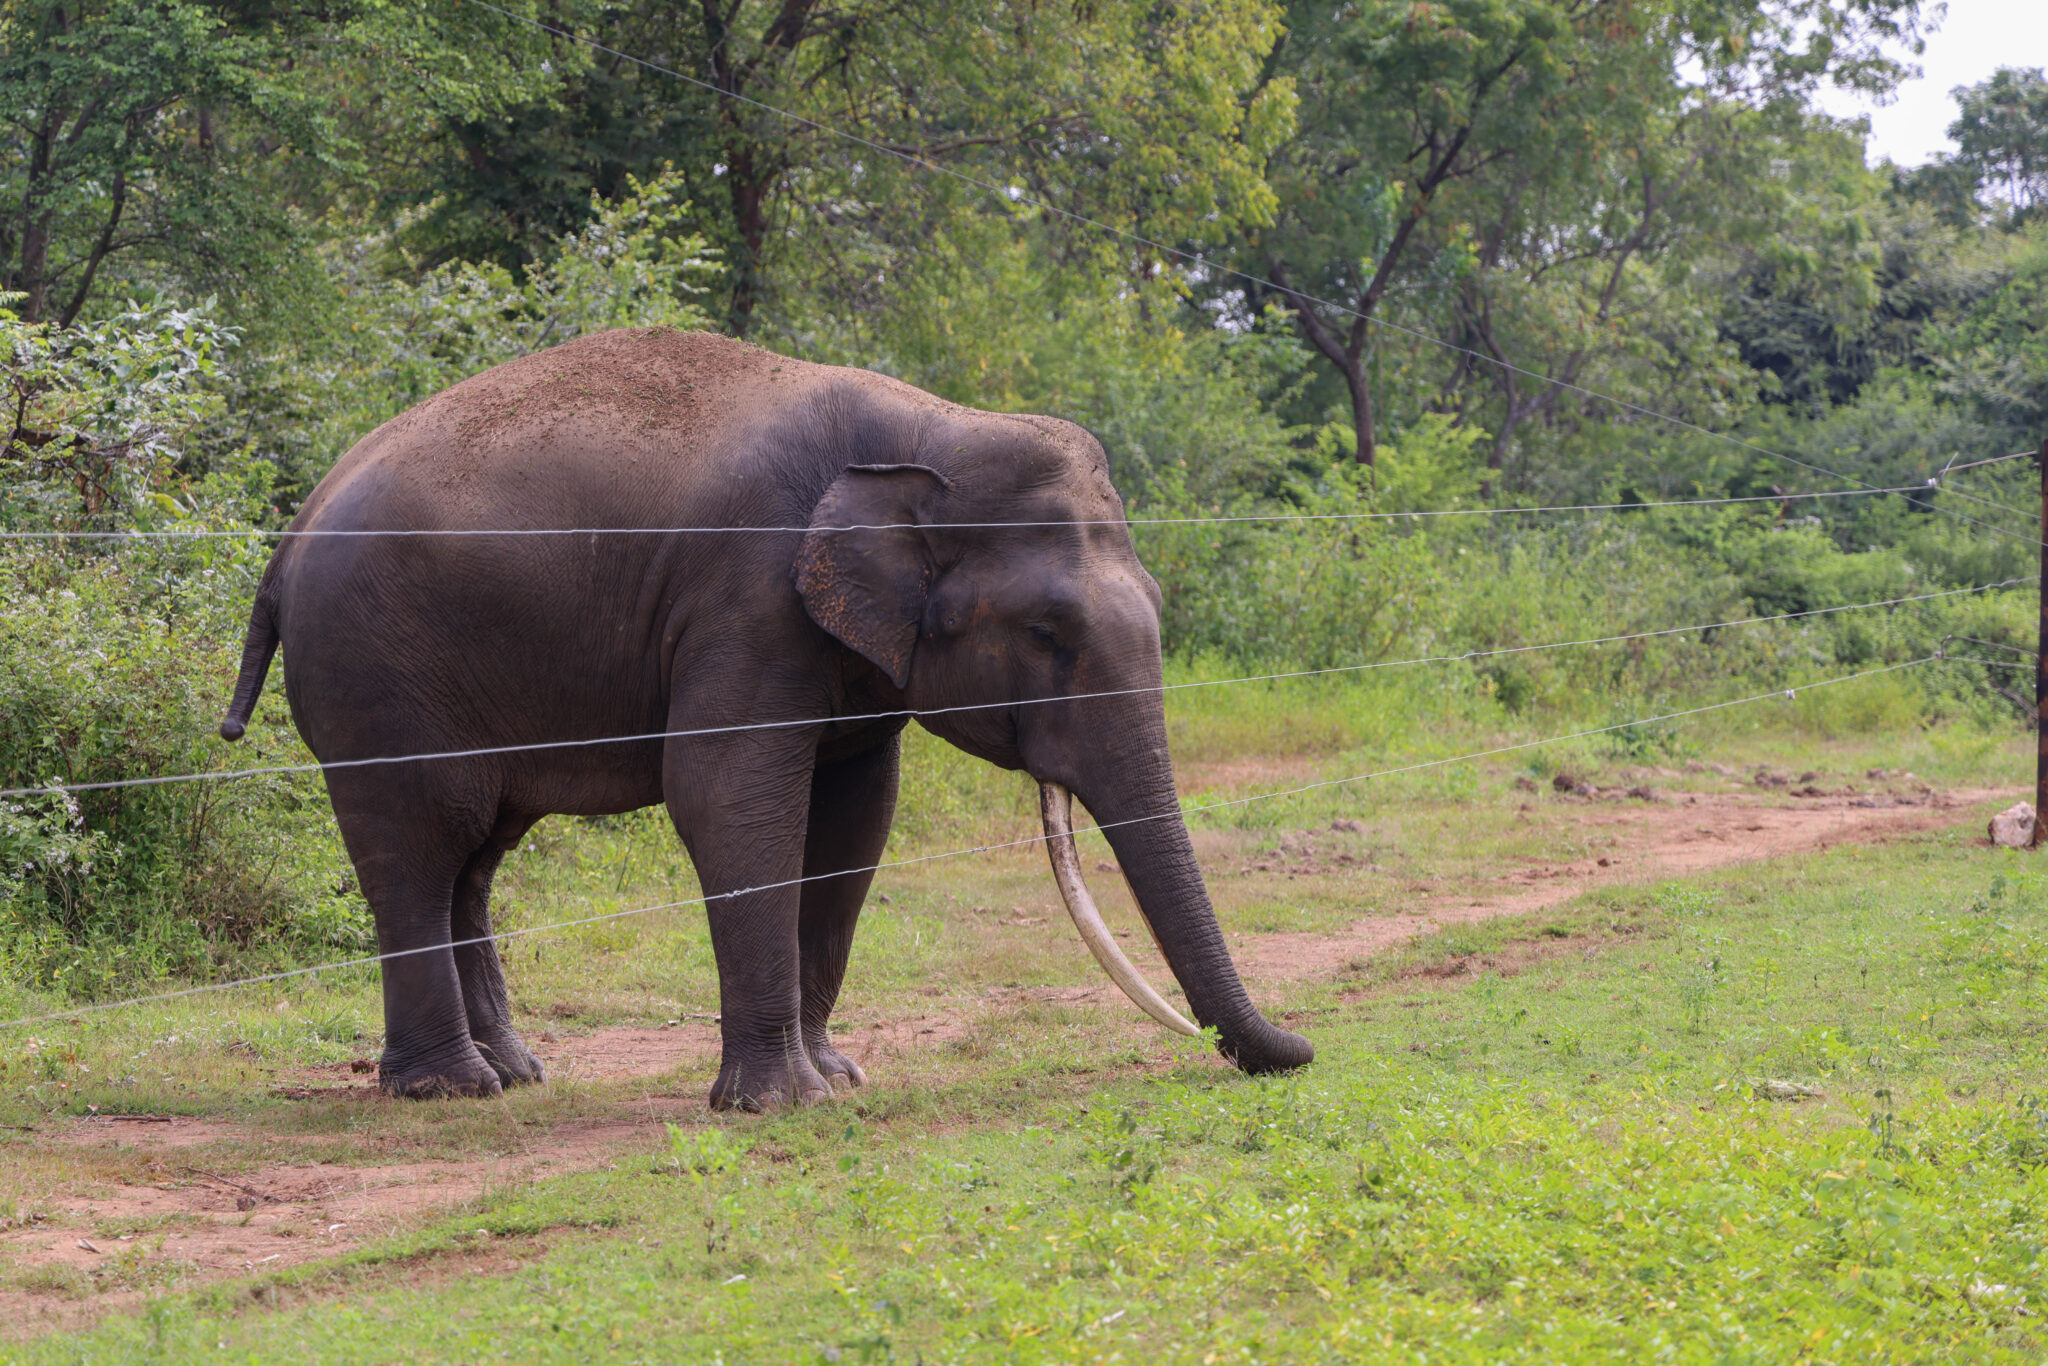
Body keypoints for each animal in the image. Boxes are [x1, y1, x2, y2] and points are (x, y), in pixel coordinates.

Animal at [220, 327, 1313, 1108]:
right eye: (1048, 633)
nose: (1302, 1048)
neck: (925, 435)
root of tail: (286, 543)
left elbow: (856, 817)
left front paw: (837, 1078)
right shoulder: (744, 598)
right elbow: (728, 795)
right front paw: (782, 1103)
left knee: (474, 854)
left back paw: (515, 1074)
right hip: (376, 673)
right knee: (420, 840)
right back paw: (449, 1089)